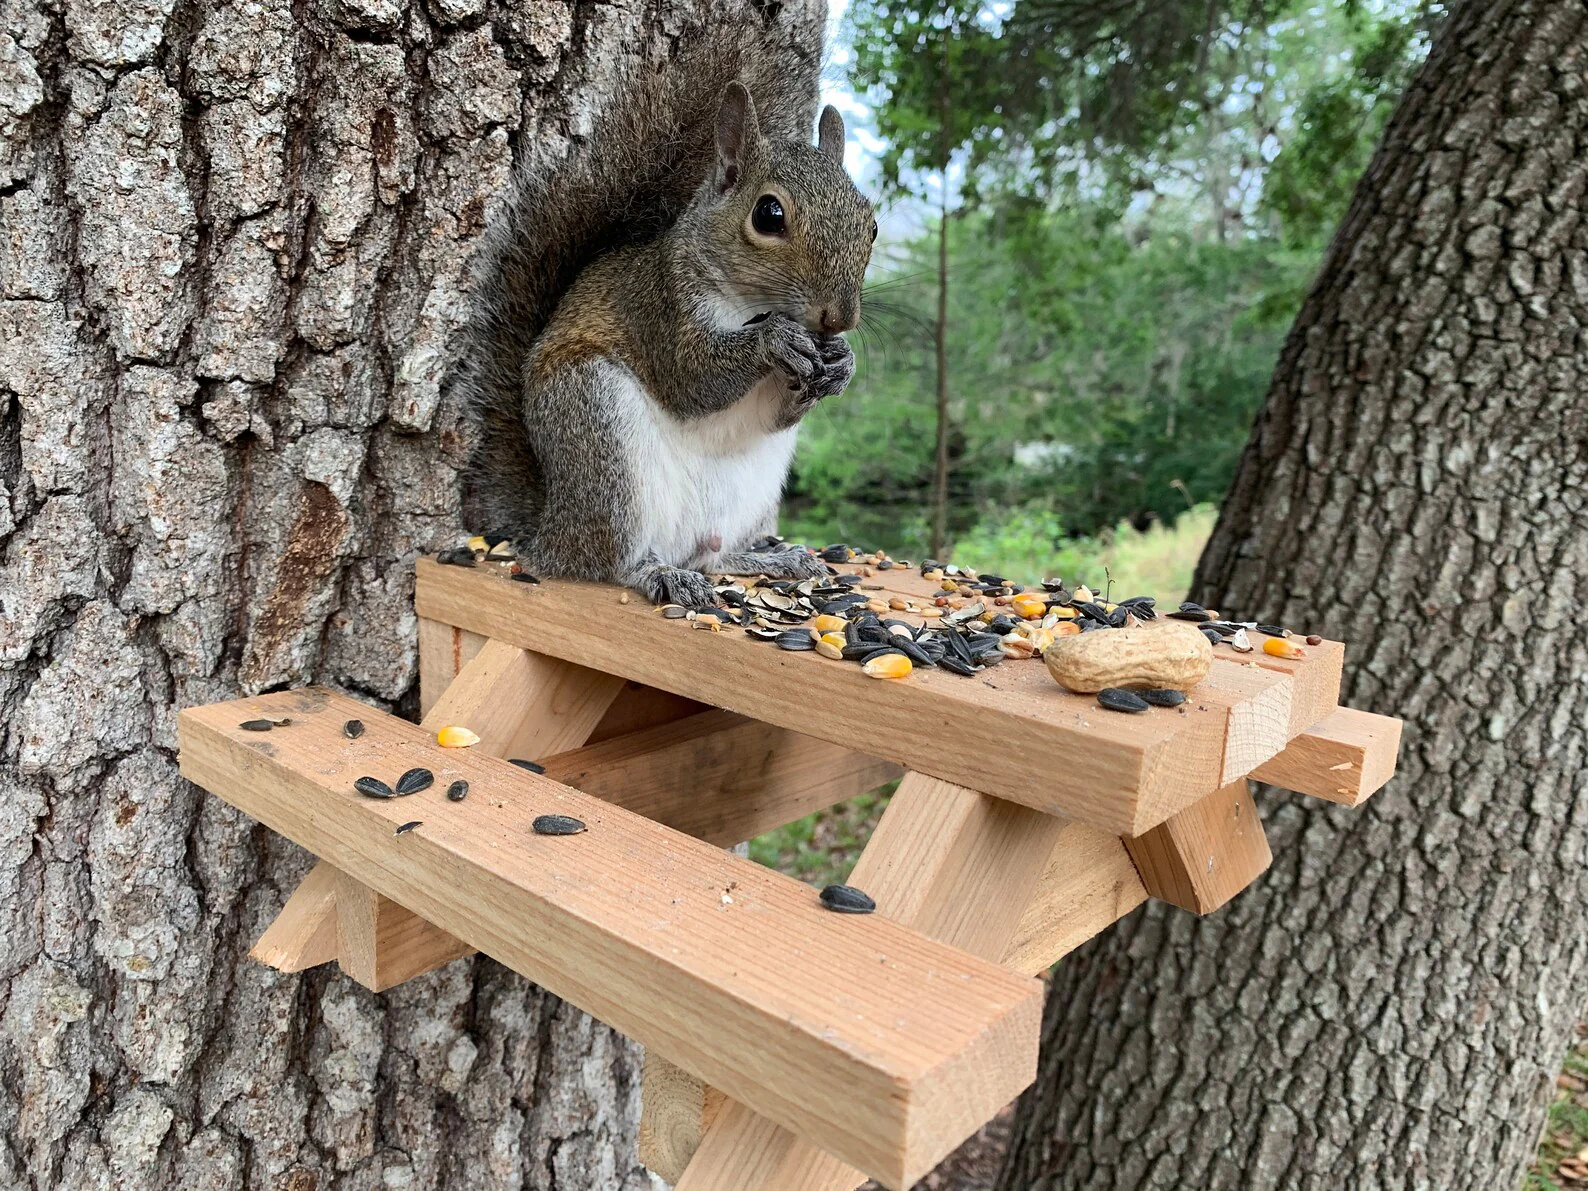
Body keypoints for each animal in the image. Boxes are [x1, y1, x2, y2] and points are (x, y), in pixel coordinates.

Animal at [450, 21, 876, 608]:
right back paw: (658, 574)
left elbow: (779, 413)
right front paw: (775, 341)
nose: (839, 318)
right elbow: (690, 379)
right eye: (769, 214)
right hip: (598, 433)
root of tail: (551, 529)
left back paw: (772, 560)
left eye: (871, 224)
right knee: (607, 562)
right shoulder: (661, 307)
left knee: (713, 555)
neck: (752, 305)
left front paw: (842, 364)